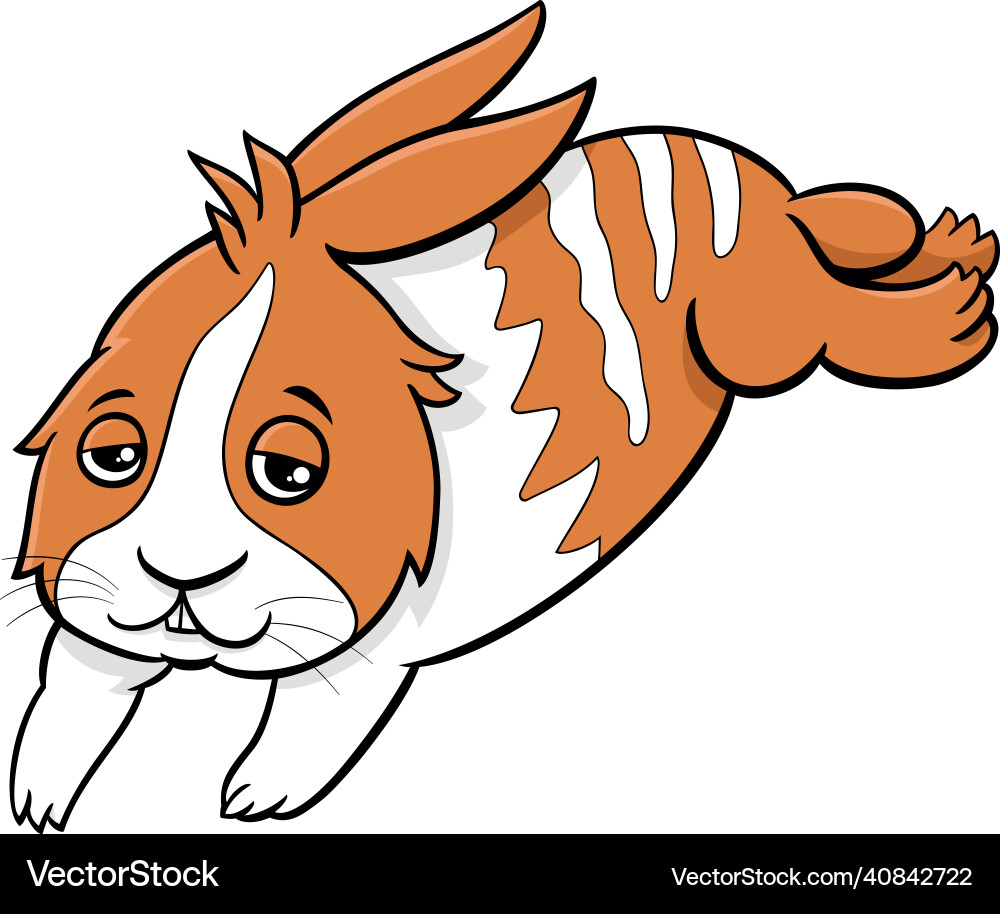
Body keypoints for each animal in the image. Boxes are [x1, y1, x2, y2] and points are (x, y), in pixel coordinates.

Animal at [7, 3, 996, 831]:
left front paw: (255, 797)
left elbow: (312, 720)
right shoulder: (98, 600)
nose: (181, 573)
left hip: (746, 328)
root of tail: (754, 177)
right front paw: (39, 800)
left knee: (811, 316)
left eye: (289, 474)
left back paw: (951, 288)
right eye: (110, 456)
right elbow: (73, 686)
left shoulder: (369, 652)